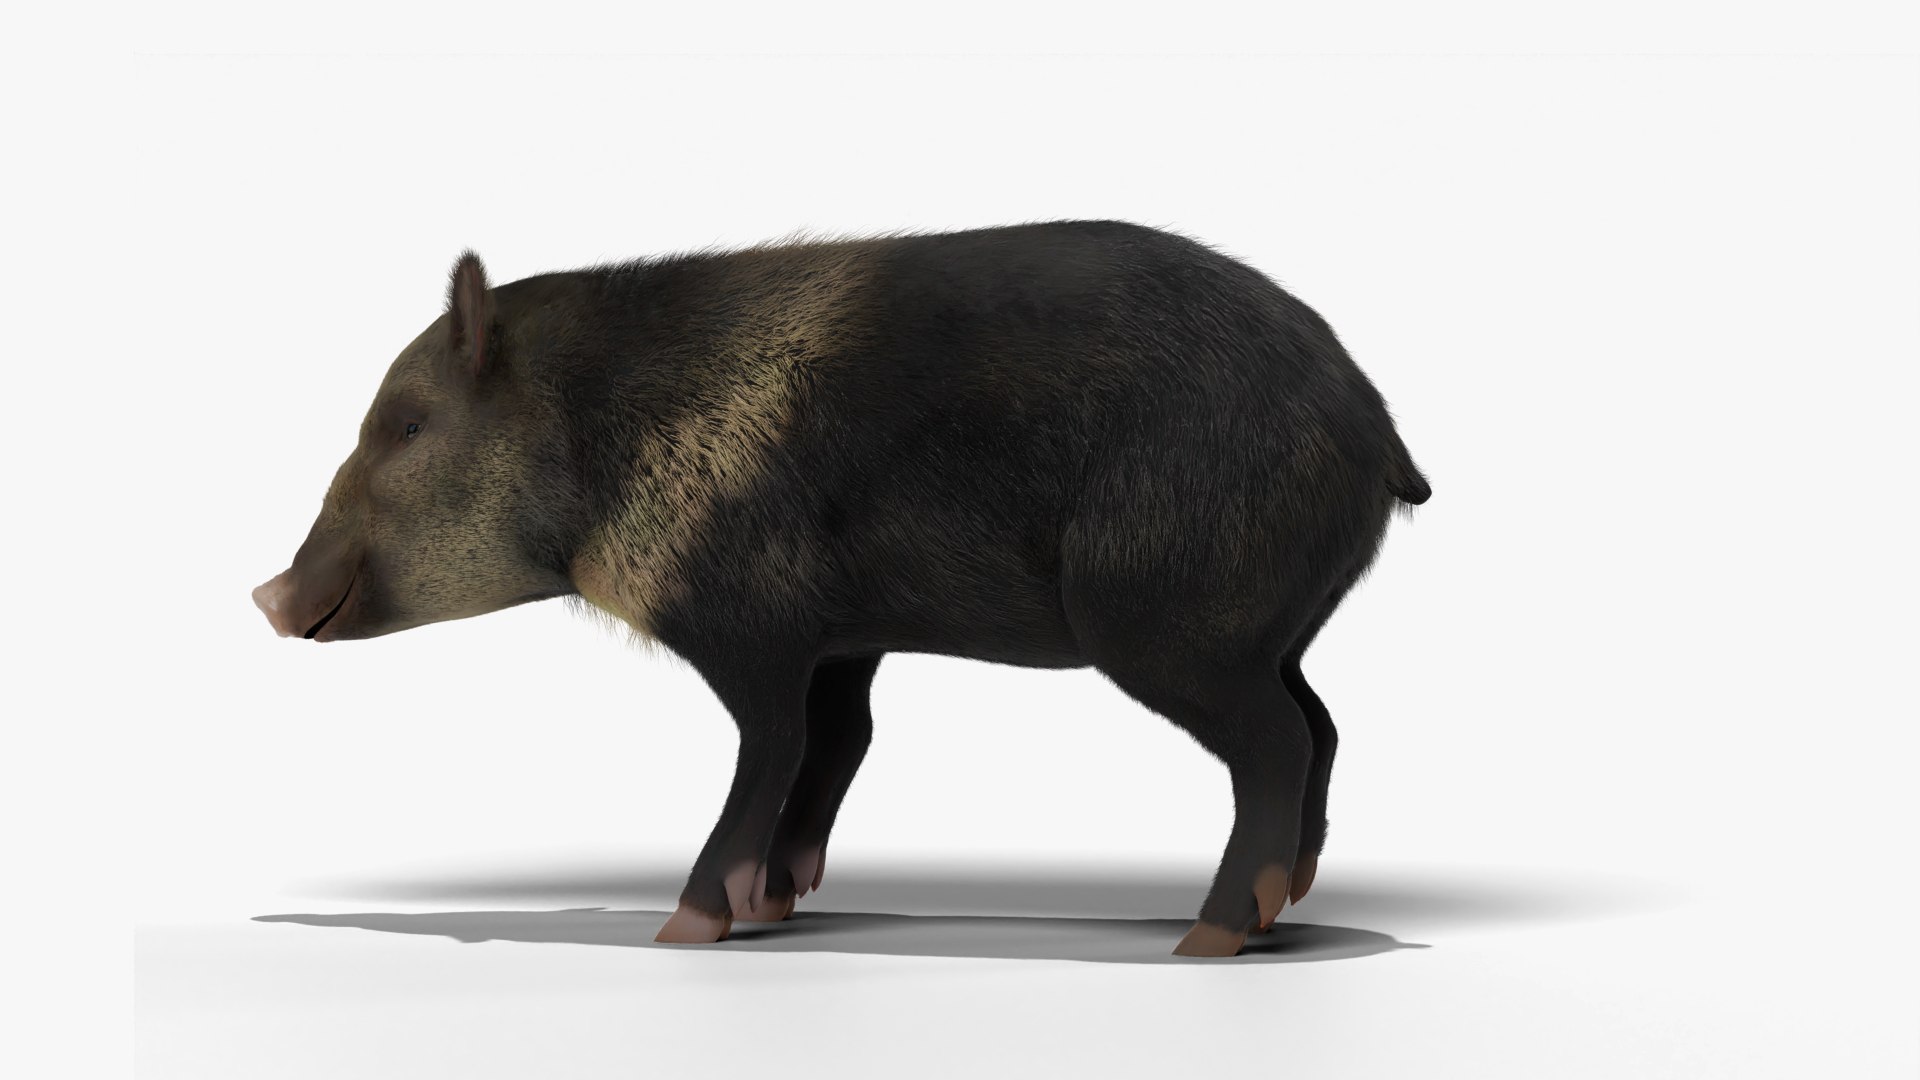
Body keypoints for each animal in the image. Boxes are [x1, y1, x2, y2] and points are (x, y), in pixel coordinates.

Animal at [252, 220, 1430, 957]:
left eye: (408, 425)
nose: (265, 595)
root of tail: (1377, 433)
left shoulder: (754, 626)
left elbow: (772, 748)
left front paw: (685, 929)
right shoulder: (841, 641)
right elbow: (838, 743)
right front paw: (775, 906)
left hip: (1165, 620)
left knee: (1278, 742)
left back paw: (1207, 939)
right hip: (1271, 628)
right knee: (1323, 725)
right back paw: (1279, 913)